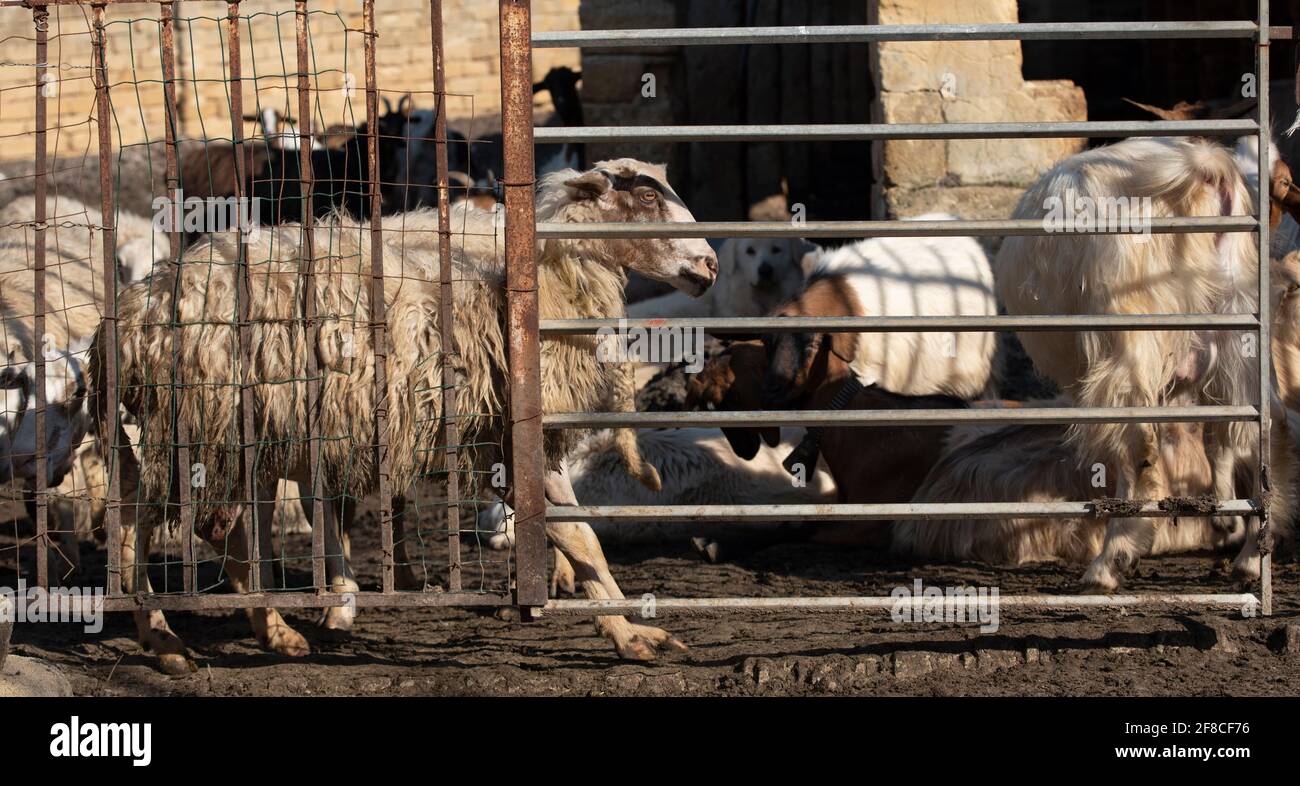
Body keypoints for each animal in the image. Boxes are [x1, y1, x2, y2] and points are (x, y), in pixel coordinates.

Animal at [97, 159, 716, 673]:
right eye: (644, 193)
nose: (709, 263)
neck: (543, 278)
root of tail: (136, 310)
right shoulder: (503, 438)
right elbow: (575, 538)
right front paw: (625, 632)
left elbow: (581, 538)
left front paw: (628, 630)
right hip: (200, 426)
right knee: (143, 526)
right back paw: (166, 641)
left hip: (243, 433)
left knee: (223, 531)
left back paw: (273, 630)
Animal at [994, 135, 1294, 591]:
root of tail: (1205, 168)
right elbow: (1219, 439)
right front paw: (1225, 519)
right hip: (1239, 326)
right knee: (1268, 427)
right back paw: (1250, 559)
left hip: (1126, 339)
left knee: (1139, 448)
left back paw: (1109, 562)